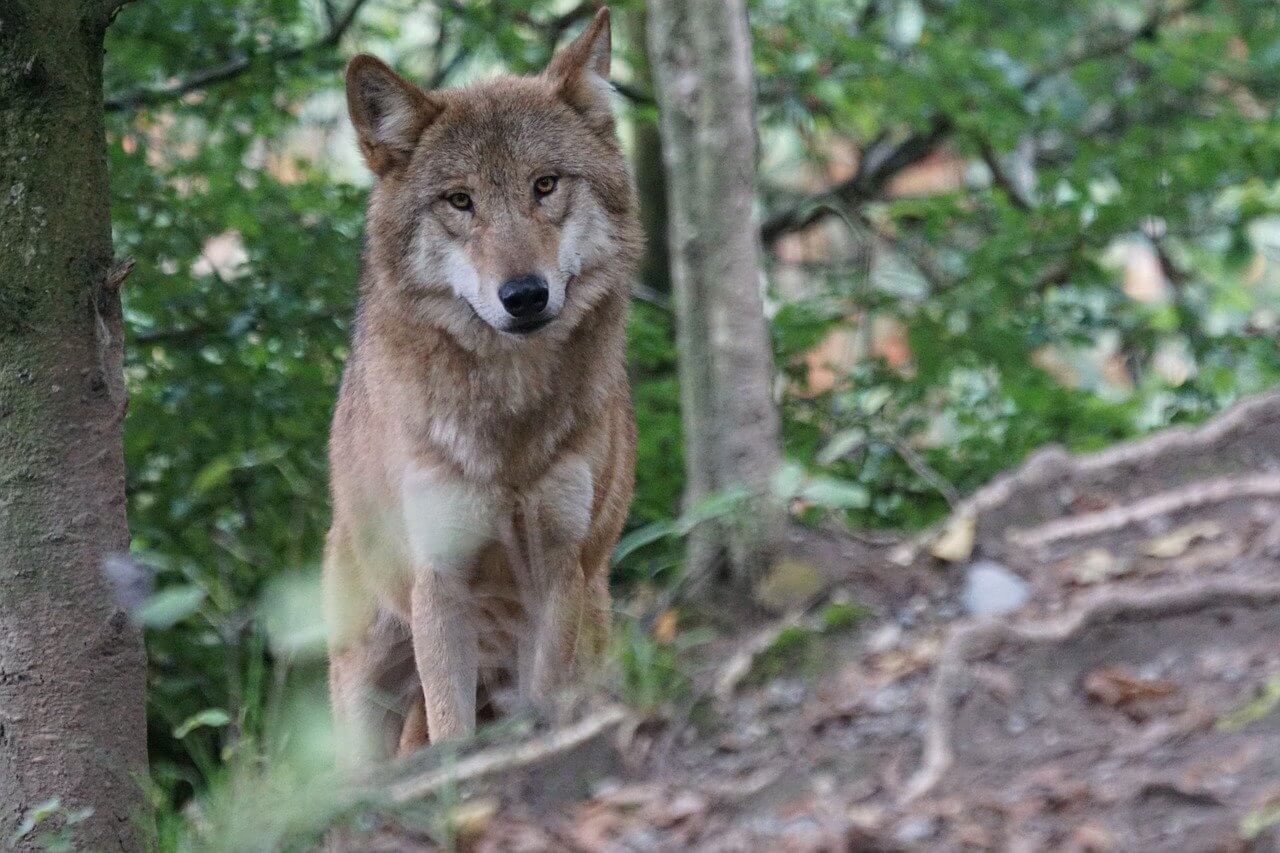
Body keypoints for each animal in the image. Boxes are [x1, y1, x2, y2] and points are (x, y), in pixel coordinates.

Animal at [320, 8, 640, 758]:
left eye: (545, 185)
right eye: (460, 201)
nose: (523, 295)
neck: (509, 423)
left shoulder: (558, 569)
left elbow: (546, 698)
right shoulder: (440, 581)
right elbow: (449, 726)